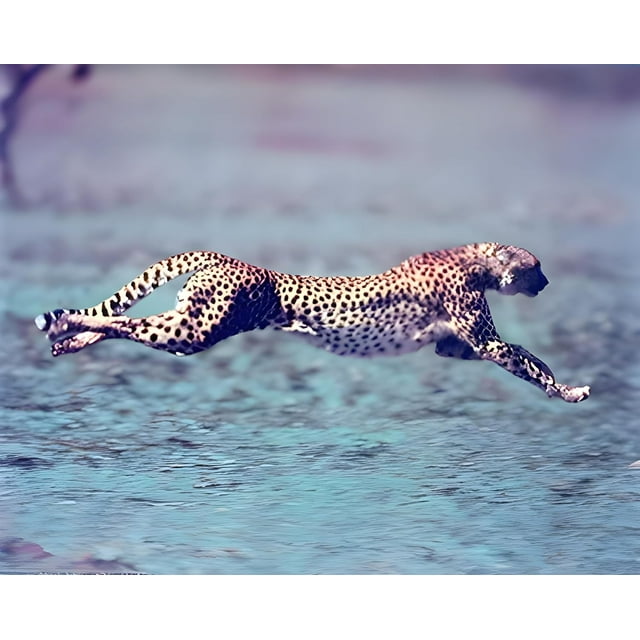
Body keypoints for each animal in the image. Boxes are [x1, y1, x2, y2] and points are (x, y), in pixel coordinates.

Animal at [34, 242, 590, 403]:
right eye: (536, 265)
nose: (546, 282)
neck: (477, 261)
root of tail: (224, 257)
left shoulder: (454, 346)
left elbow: (524, 355)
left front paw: (564, 383)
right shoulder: (484, 343)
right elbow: (526, 361)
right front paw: (568, 391)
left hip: (189, 320)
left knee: (124, 321)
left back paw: (67, 339)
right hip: (197, 331)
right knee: (128, 324)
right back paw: (63, 326)